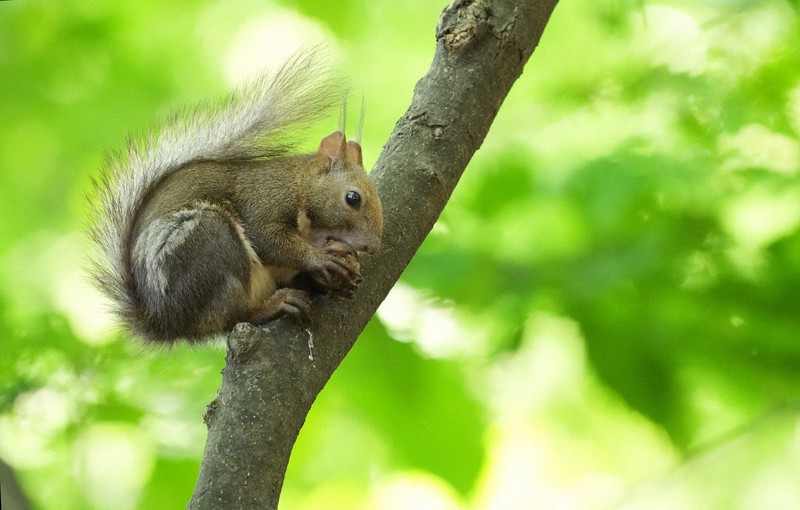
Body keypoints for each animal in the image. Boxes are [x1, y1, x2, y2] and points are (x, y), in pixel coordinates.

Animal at [89, 51, 383, 344]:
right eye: (353, 198)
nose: (372, 246)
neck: (300, 185)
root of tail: (166, 322)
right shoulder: (264, 199)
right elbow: (268, 240)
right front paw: (320, 258)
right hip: (209, 242)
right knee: (234, 316)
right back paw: (273, 306)